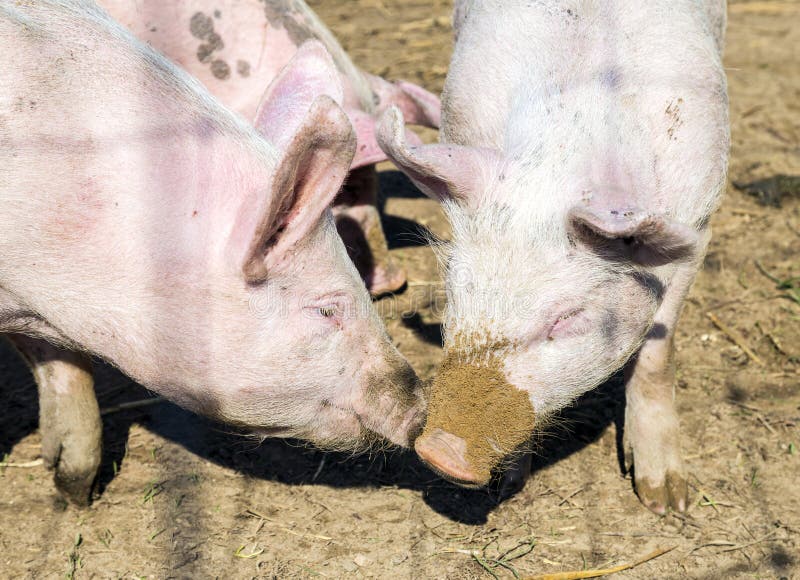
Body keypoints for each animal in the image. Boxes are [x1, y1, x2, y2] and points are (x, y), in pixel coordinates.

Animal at [378, 0, 729, 514]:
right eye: (455, 289)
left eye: (566, 319)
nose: (440, 450)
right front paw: (508, 485)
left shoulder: (698, 226)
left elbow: (657, 356)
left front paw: (665, 502)